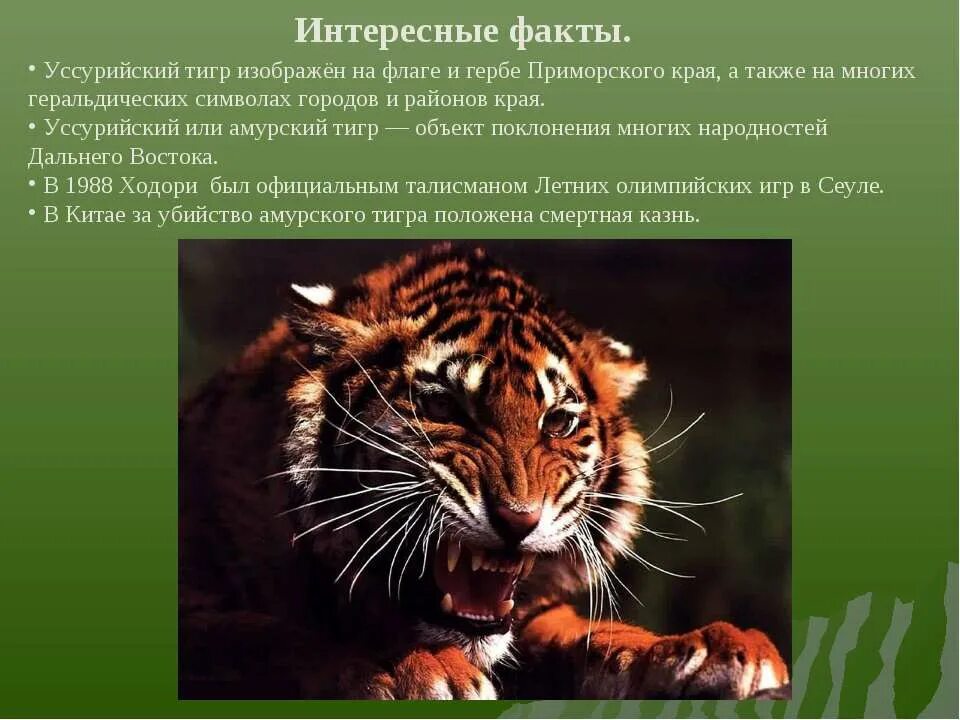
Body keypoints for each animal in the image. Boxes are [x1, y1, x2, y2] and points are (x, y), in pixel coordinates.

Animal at [178, 243, 789, 700]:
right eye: (442, 405)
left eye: (559, 423)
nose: (519, 520)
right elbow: (266, 636)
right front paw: (413, 670)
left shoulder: (535, 617)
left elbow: (596, 633)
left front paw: (717, 651)